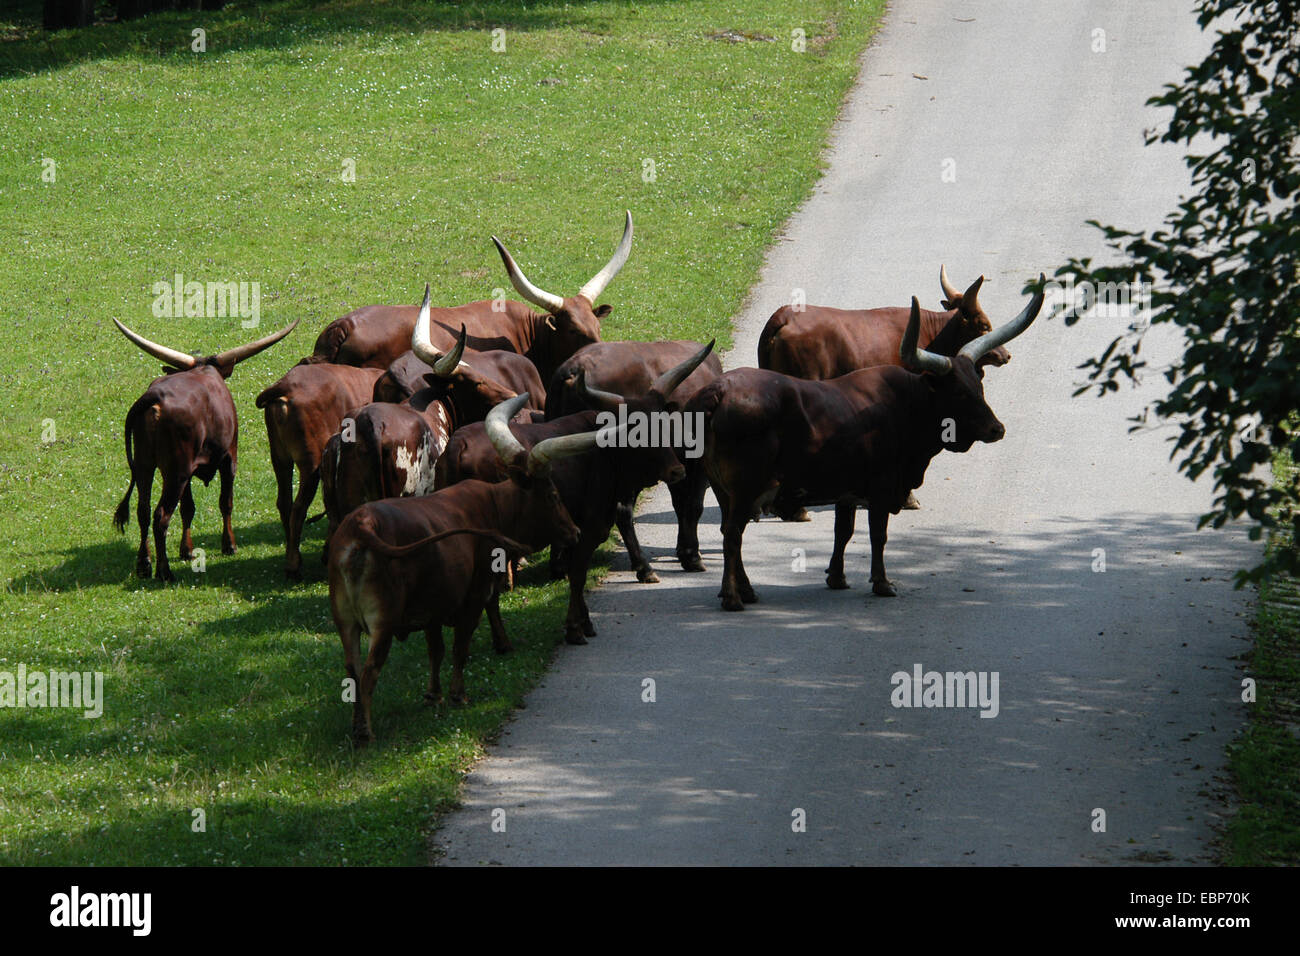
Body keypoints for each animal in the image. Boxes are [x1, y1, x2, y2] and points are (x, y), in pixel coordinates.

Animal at [111, 317, 299, 581]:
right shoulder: (229, 458)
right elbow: (225, 502)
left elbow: (188, 508)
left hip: (145, 465)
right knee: (160, 516)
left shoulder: (189, 470)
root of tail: (154, 397)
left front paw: (187, 550)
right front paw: (229, 545)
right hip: (176, 472)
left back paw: (144, 565)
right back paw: (164, 571)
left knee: (143, 511)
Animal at [256, 362, 384, 578]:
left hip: (280, 458)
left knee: (285, 502)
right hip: (311, 463)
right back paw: (293, 565)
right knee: (299, 507)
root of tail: (287, 385)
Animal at [328, 394, 611, 744]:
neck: (493, 507)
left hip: (346, 622)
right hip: (383, 624)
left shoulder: (432, 609)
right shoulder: (474, 597)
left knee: (352, 671)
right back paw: (365, 733)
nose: (575, 532)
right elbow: (460, 648)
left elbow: (435, 651)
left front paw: (433, 694)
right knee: (368, 673)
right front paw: (457, 695)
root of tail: (361, 525)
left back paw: (357, 724)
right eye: (553, 494)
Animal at [545, 340, 723, 580]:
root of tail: (573, 367)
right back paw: (643, 566)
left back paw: (559, 565)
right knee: (624, 512)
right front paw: (691, 555)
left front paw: (683, 551)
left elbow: (680, 504)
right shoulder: (697, 464)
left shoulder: (674, 464)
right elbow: (693, 505)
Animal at [686, 283, 1043, 610]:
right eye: (958, 392)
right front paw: (882, 582)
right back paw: (733, 597)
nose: (997, 429)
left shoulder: (847, 490)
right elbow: (877, 535)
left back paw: (746, 590)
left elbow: (843, 532)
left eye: (978, 386)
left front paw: (837, 577)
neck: (908, 404)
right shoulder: (882, 487)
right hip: (744, 489)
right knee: (733, 535)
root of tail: (719, 390)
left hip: (723, 489)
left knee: (730, 533)